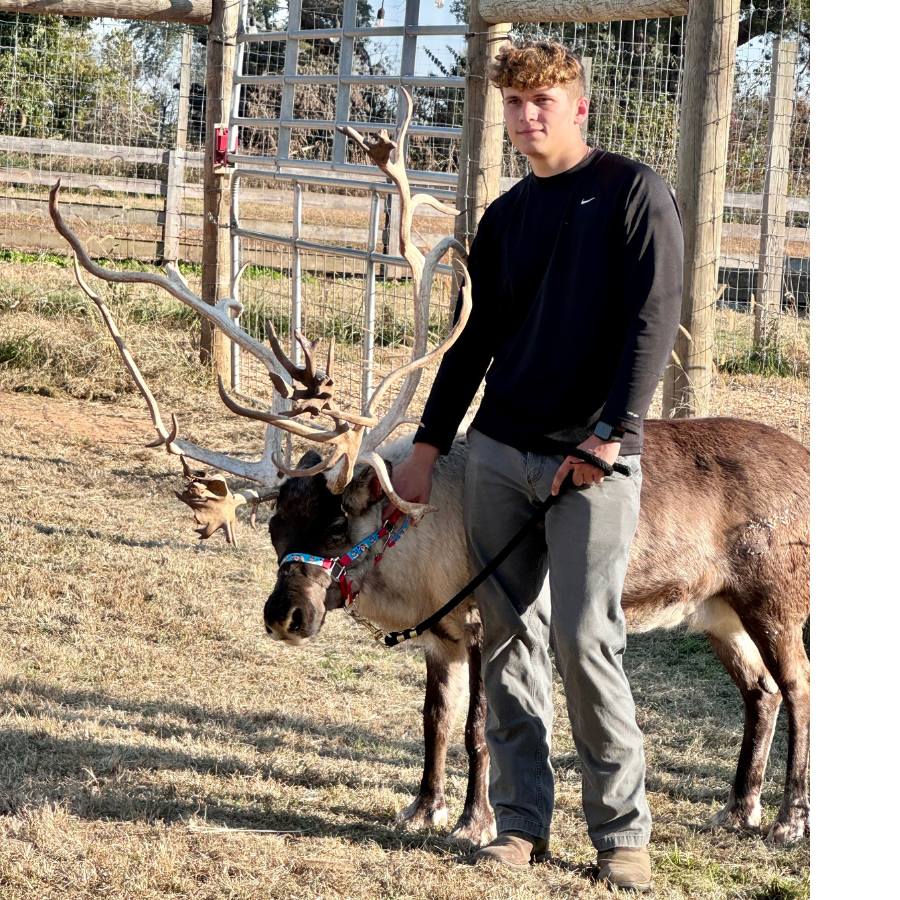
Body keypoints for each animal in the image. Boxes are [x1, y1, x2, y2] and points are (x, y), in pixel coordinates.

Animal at [48, 89, 809, 848]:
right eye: (273, 531)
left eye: (337, 527)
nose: (284, 617)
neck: (412, 544)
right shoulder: (438, 643)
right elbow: (434, 722)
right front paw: (422, 807)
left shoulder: (484, 625)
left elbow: (478, 729)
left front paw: (475, 820)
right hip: (715, 608)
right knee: (762, 690)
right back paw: (739, 805)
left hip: (775, 598)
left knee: (798, 686)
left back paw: (788, 818)